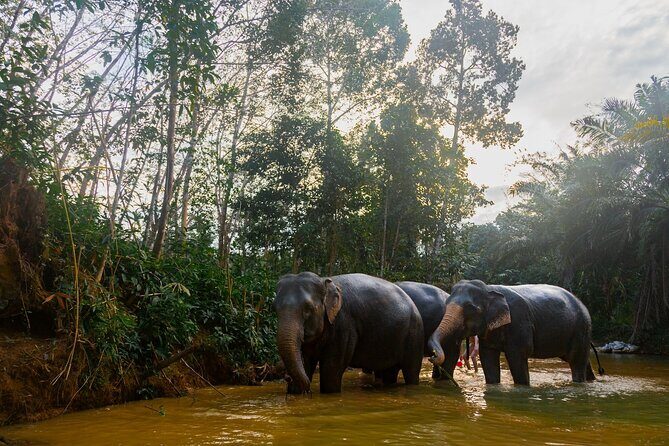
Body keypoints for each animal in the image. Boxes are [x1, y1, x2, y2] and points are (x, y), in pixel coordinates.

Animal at [274, 272, 424, 394]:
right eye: (274, 308)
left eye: (308, 309)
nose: (287, 378)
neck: (325, 281)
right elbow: (305, 359)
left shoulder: (344, 324)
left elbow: (331, 369)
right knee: (389, 372)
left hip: (414, 335)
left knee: (411, 371)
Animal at [428, 279, 604, 385]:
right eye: (446, 302)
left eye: (471, 309)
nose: (431, 356)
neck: (489, 289)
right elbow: (488, 357)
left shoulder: (519, 322)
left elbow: (517, 356)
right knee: (579, 359)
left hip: (581, 328)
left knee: (576, 361)